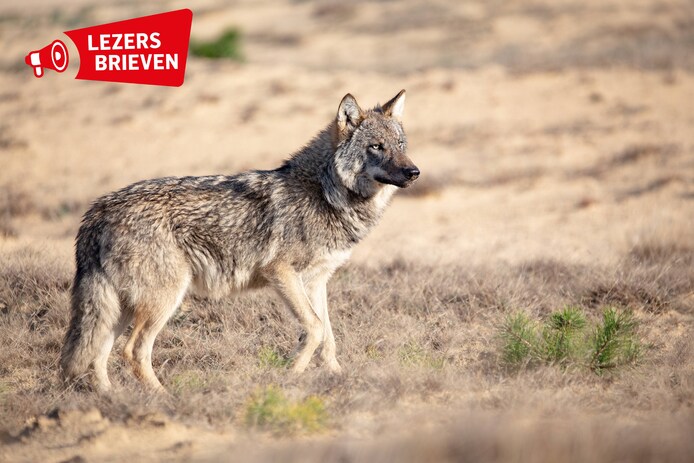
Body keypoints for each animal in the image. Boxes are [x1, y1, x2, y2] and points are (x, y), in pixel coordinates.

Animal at [60, 90, 419, 392]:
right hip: (163, 300)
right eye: (376, 147)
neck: (325, 193)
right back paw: (163, 399)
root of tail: (97, 210)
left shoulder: (317, 281)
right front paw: (291, 375)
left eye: (401, 144)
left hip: (121, 307)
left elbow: (328, 337)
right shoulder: (280, 273)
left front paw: (338, 378)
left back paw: (111, 398)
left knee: (97, 354)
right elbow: (315, 330)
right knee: (132, 351)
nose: (414, 172)